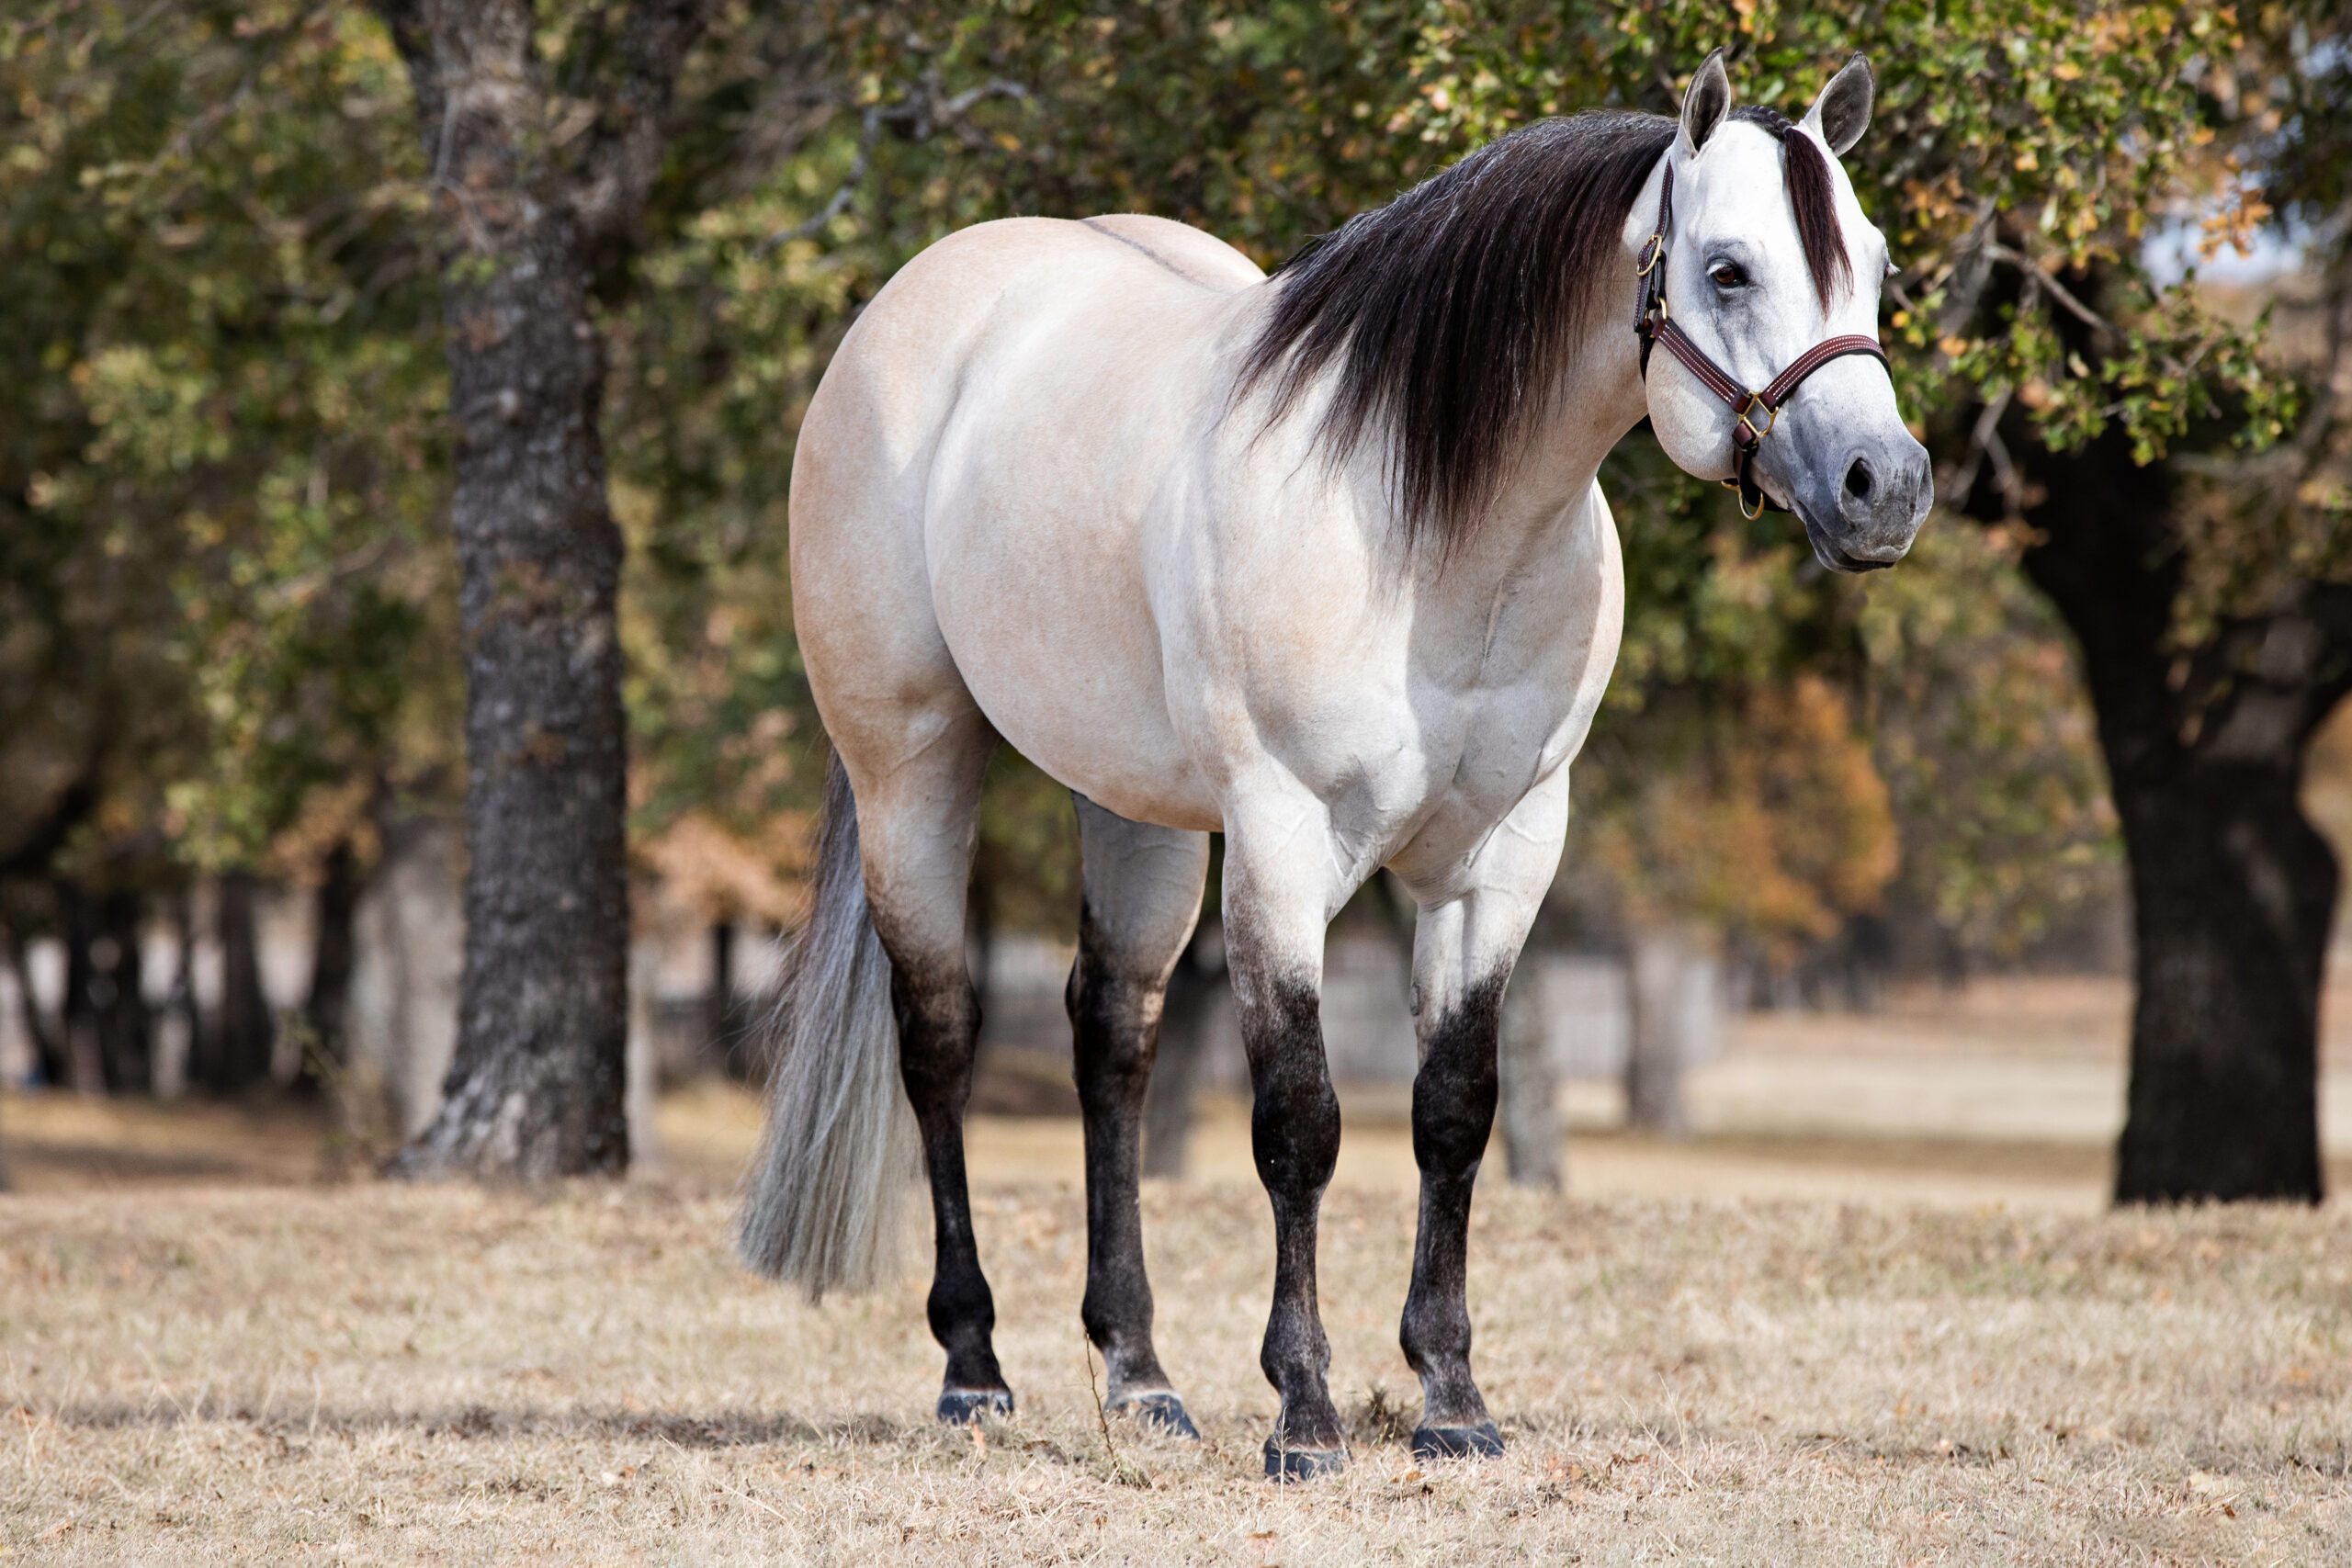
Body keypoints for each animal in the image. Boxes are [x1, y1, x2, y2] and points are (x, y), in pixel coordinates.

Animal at [738, 48, 1930, 1479]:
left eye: (1877, 265)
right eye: (1729, 269)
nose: (1884, 485)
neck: (1426, 530)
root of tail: (912, 308)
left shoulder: (1502, 857)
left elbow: (1454, 1111)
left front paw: (1452, 1399)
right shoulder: (1282, 845)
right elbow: (1298, 1125)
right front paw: (1304, 1414)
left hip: (1133, 810)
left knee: (1112, 1040)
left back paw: (1141, 1377)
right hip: (911, 765)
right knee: (941, 1039)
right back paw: (974, 1369)